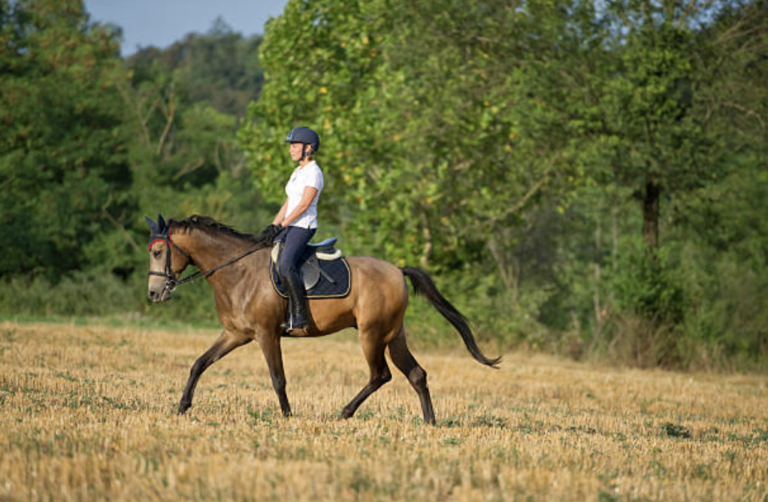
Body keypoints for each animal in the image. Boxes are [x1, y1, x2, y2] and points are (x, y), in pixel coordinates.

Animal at [145, 215, 500, 424]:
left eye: (157, 252)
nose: (154, 294)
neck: (238, 271)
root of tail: (397, 270)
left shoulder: (266, 333)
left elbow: (278, 377)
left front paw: (287, 416)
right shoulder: (235, 333)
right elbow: (199, 364)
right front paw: (182, 406)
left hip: (371, 335)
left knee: (381, 375)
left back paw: (344, 413)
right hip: (393, 334)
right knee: (416, 374)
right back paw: (429, 422)